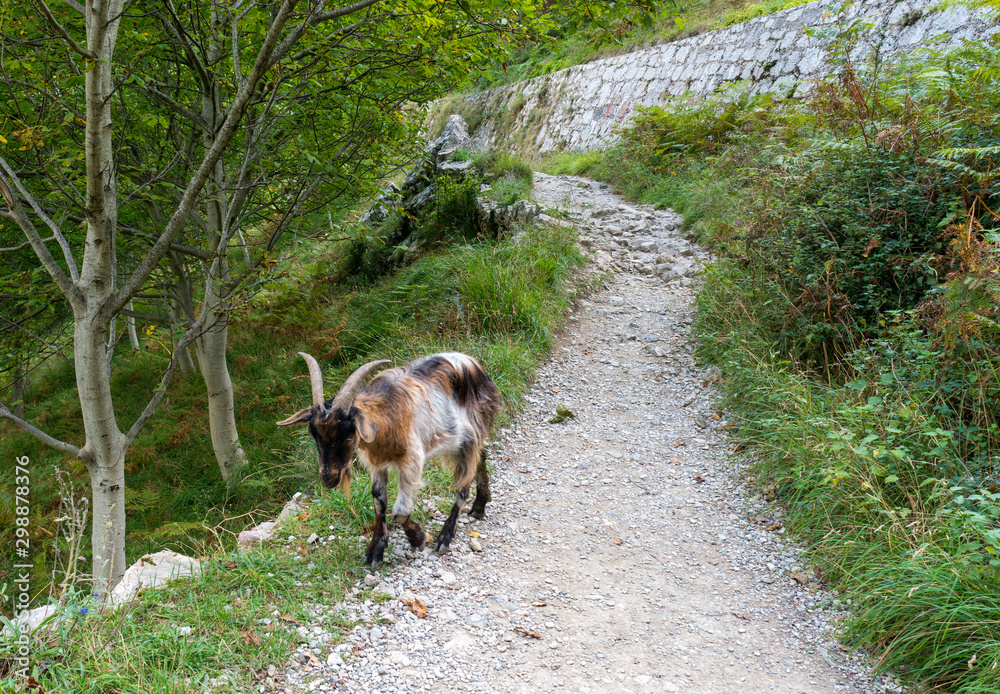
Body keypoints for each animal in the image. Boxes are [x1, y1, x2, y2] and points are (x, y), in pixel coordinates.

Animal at [277, 352, 501, 570]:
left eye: (348, 436)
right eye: (314, 434)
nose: (328, 478)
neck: (388, 415)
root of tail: (476, 367)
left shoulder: (412, 459)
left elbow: (400, 511)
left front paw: (418, 538)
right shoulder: (376, 463)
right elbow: (379, 500)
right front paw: (375, 550)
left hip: (471, 433)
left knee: (463, 484)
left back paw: (445, 537)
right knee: (481, 457)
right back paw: (480, 505)